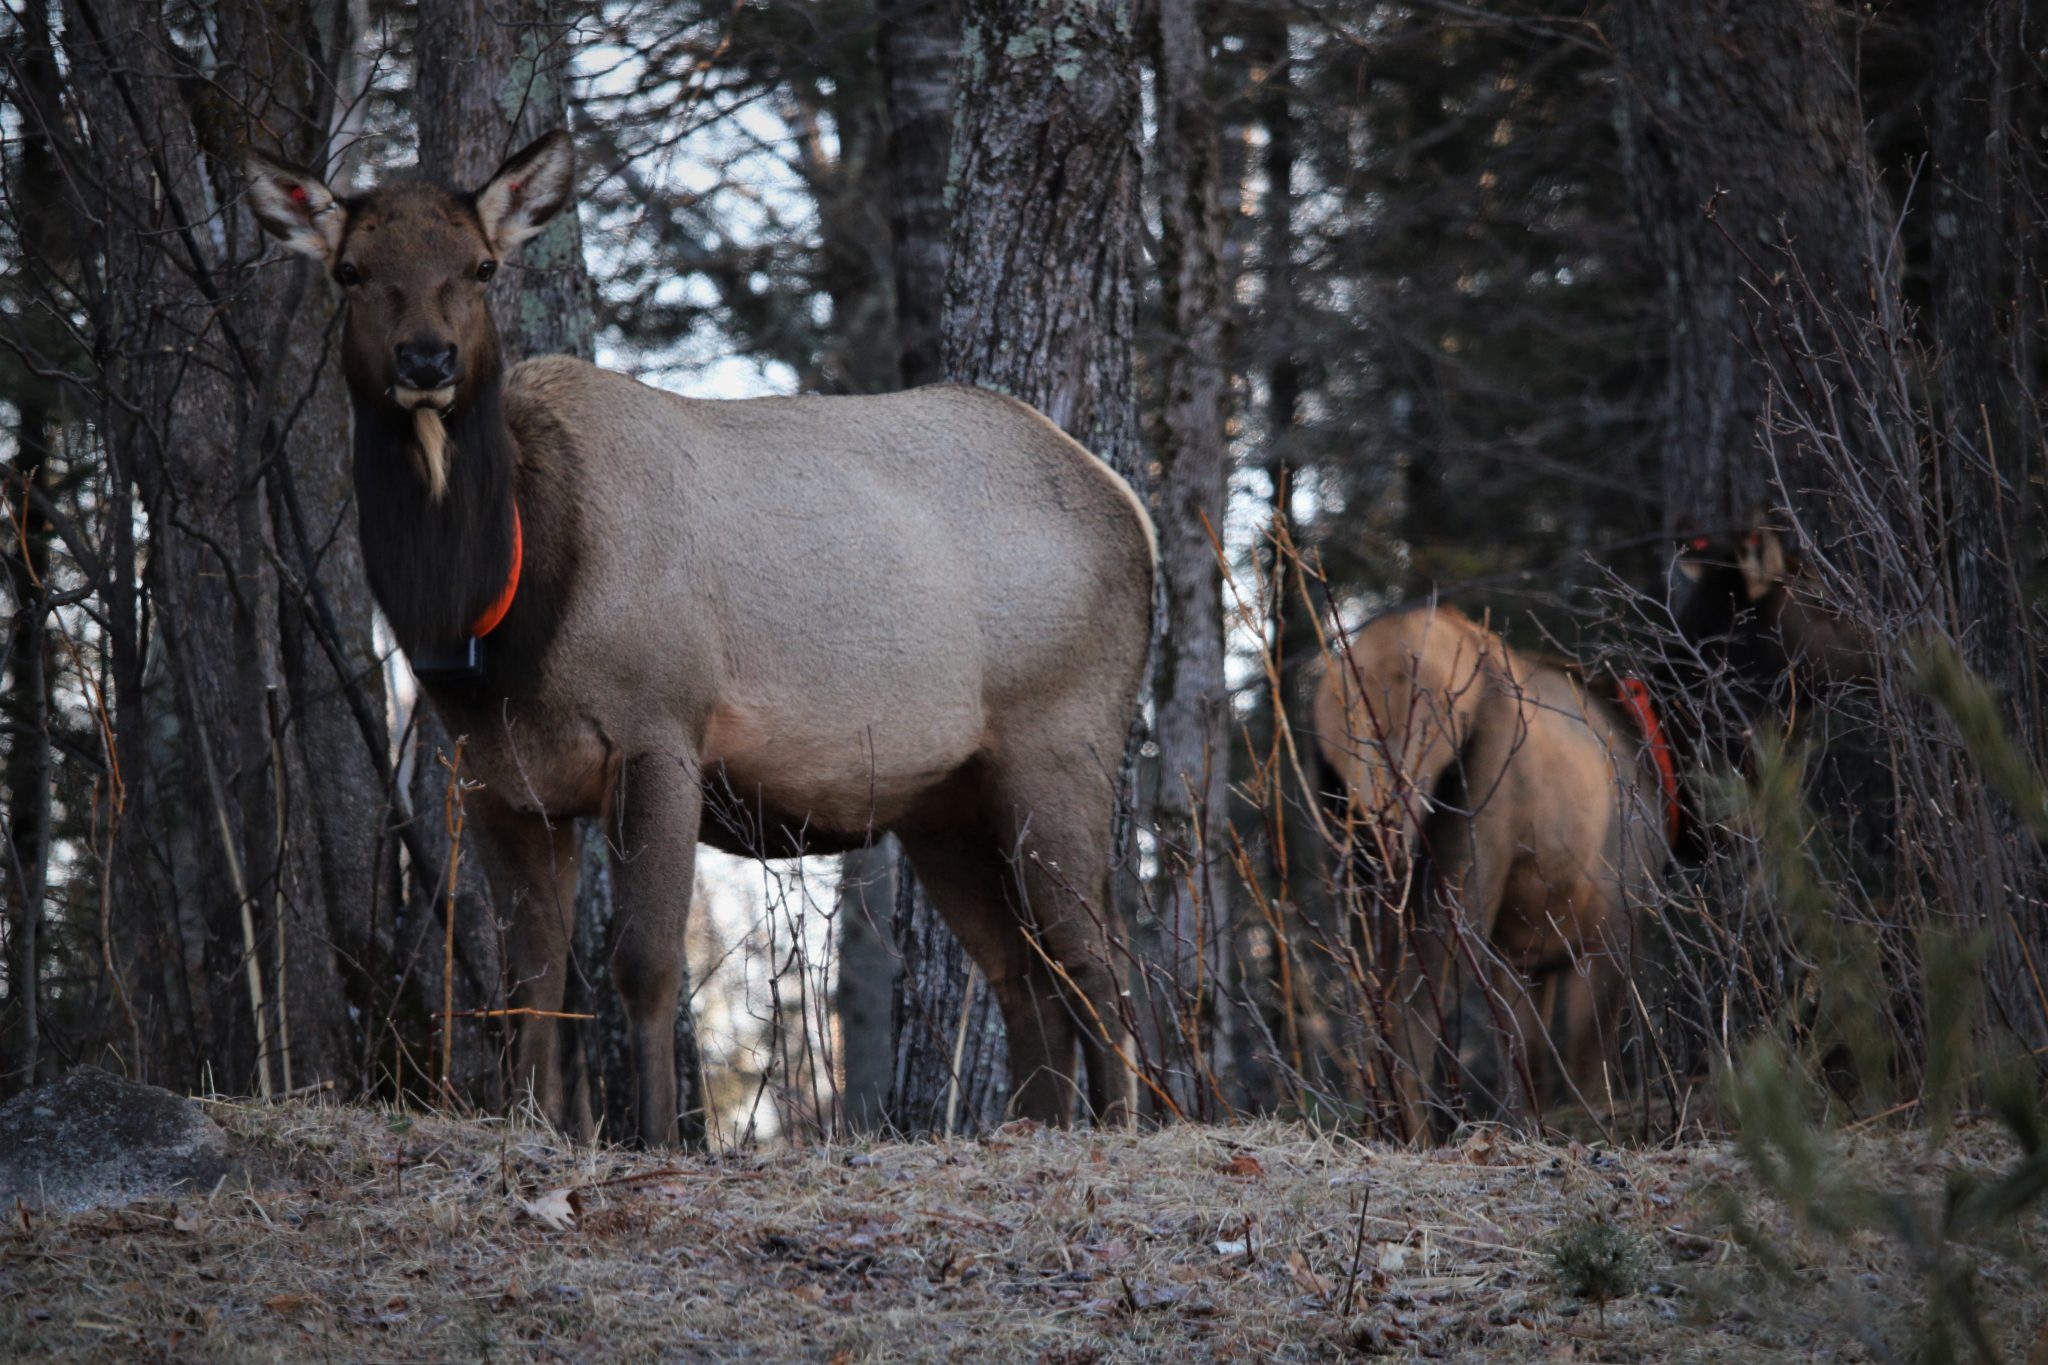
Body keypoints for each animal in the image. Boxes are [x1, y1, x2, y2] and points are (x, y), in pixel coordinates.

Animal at [244, 131, 1155, 1146]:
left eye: (482, 266)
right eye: (350, 271)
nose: (427, 358)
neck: (503, 616)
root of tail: (1133, 509)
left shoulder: (660, 725)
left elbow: (644, 962)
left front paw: (657, 1134)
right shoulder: (499, 778)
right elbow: (528, 983)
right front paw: (536, 1122)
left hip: (1061, 734)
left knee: (1100, 957)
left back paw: (1118, 1127)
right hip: (944, 800)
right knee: (1024, 971)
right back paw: (1037, 1126)